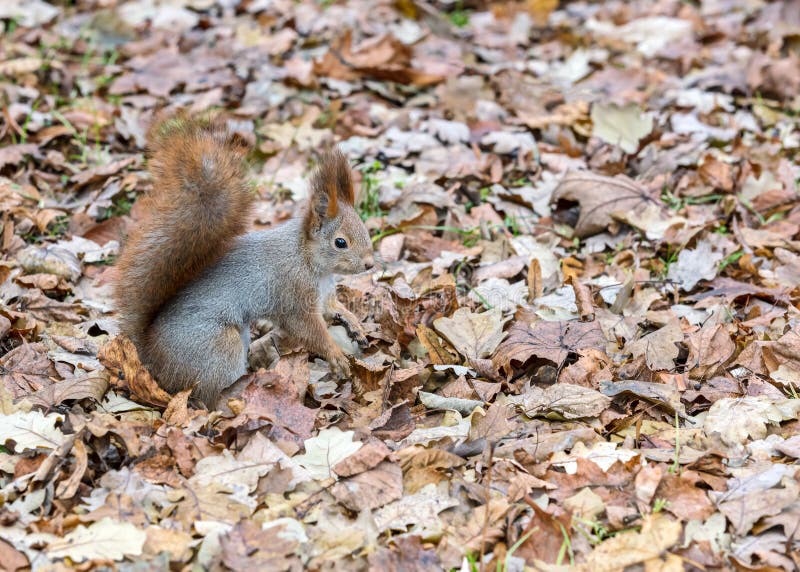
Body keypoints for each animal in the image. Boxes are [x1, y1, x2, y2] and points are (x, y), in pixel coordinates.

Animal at [114, 115, 375, 408]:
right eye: (340, 242)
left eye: (364, 227)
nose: (370, 264)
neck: (309, 261)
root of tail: (150, 358)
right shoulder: (293, 295)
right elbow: (307, 329)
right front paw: (336, 355)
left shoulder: (325, 293)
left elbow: (334, 308)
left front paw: (354, 323)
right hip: (219, 348)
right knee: (207, 396)